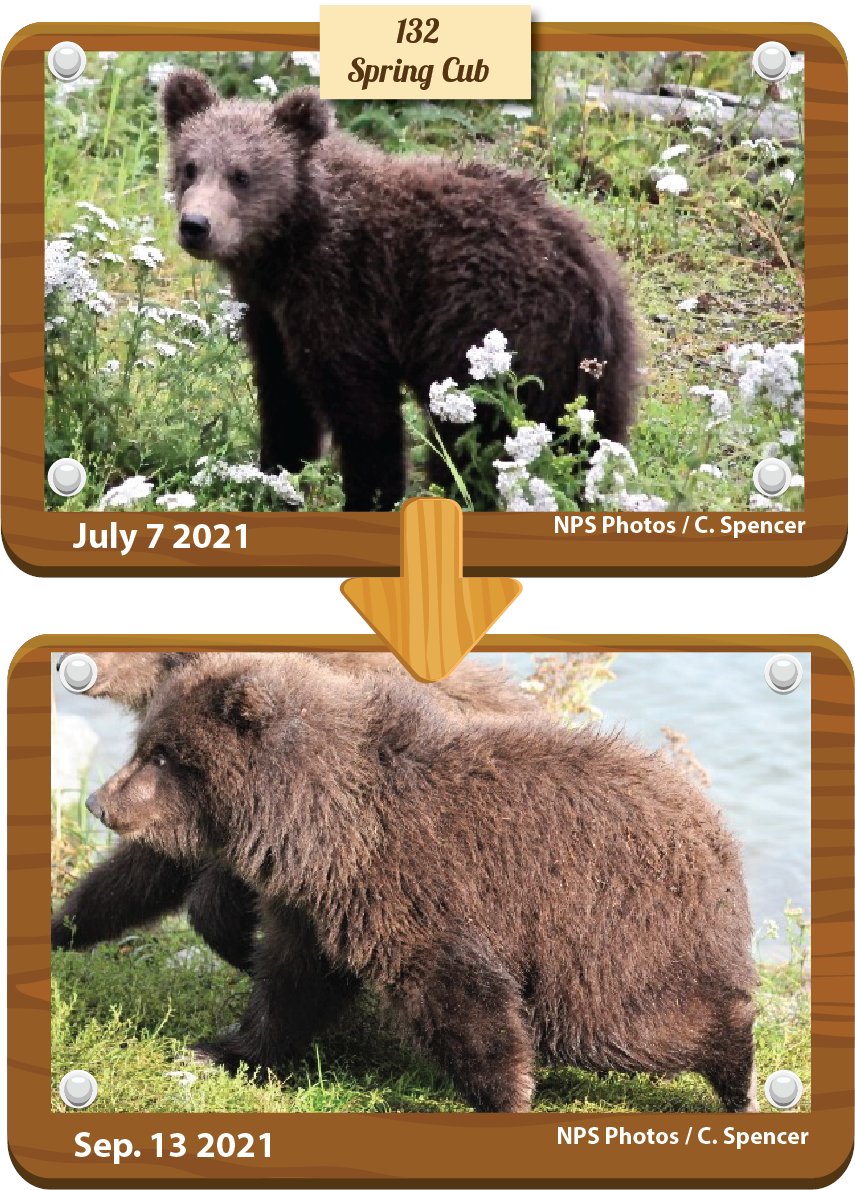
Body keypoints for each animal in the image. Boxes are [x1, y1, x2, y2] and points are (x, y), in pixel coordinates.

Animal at [161, 72, 639, 510]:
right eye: (190, 166)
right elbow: (285, 399)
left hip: (494, 341)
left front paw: (369, 497)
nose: (196, 225)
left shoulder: (345, 294)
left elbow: (365, 415)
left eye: (241, 175)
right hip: (596, 377)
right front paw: (274, 481)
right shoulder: (271, 314)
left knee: (473, 445)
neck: (287, 245)